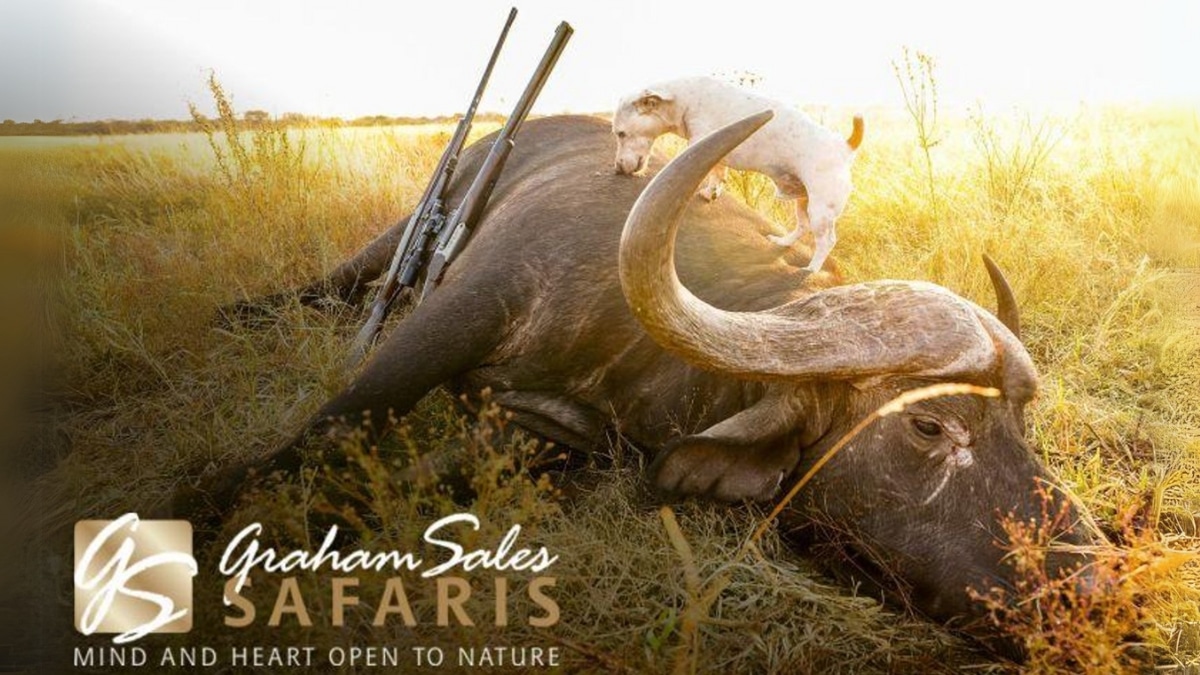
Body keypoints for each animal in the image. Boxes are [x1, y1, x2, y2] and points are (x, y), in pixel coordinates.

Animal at [192, 111, 1099, 647]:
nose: (1088, 584)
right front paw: (218, 506)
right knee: (331, 285)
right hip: (397, 234)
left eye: (1023, 429)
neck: (649, 348)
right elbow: (343, 417)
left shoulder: (550, 433)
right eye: (930, 426)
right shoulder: (463, 309)